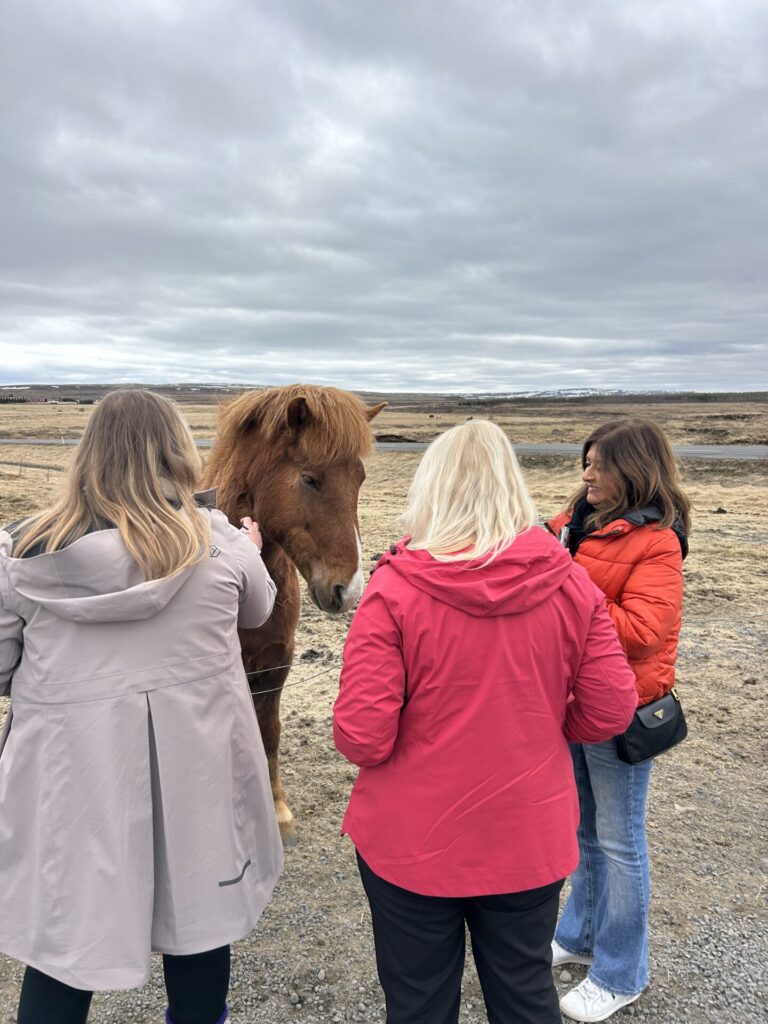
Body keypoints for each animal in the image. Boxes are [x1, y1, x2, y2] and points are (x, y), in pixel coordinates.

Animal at [202, 385, 386, 845]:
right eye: (310, 479)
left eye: (360, 479)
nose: (348, 590)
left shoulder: (275, 663)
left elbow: (268, 735)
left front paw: (278, 813)